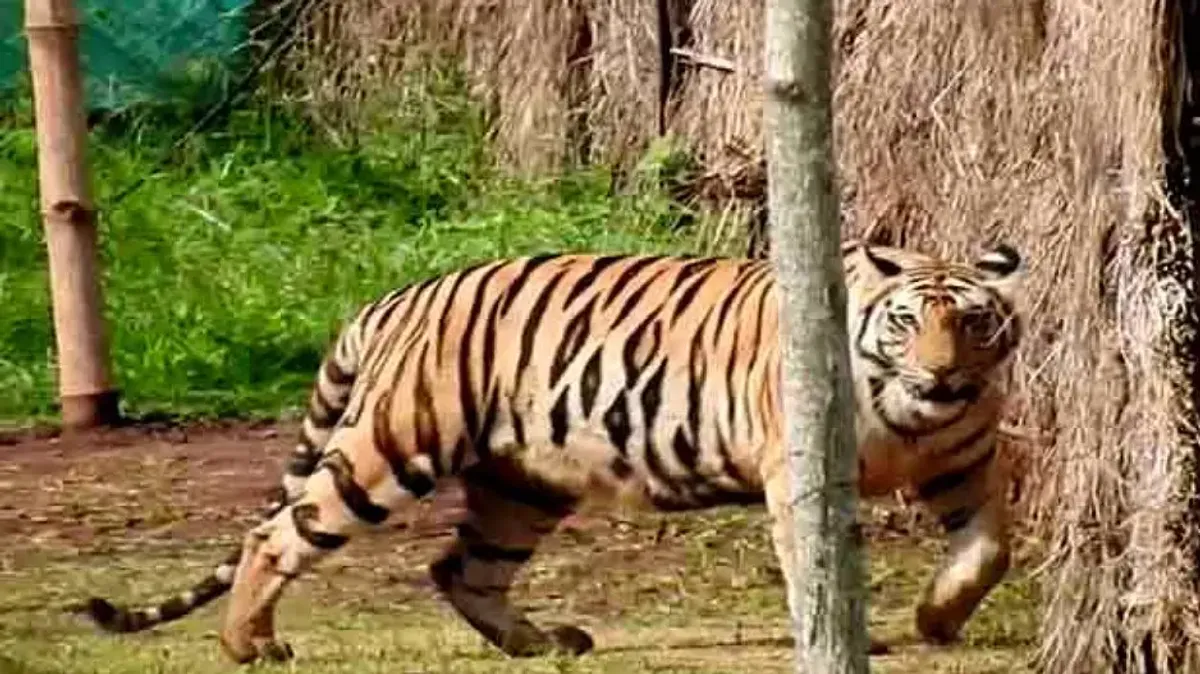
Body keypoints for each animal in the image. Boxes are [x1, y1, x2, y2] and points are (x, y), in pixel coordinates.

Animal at [81, 240, 1024, 664]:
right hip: (393, 444)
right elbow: (818, 562)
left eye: (976, 324)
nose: (943, 374)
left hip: (524, 484)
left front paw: (937, 620)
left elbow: (990, 552)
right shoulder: (802, 473)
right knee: (277, 534)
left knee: (461, 567)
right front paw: (841, 633)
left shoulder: (966, 468)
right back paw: (250, 644)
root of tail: (397, 297)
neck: (909, 418)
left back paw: (540, 643)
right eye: (907, 323)